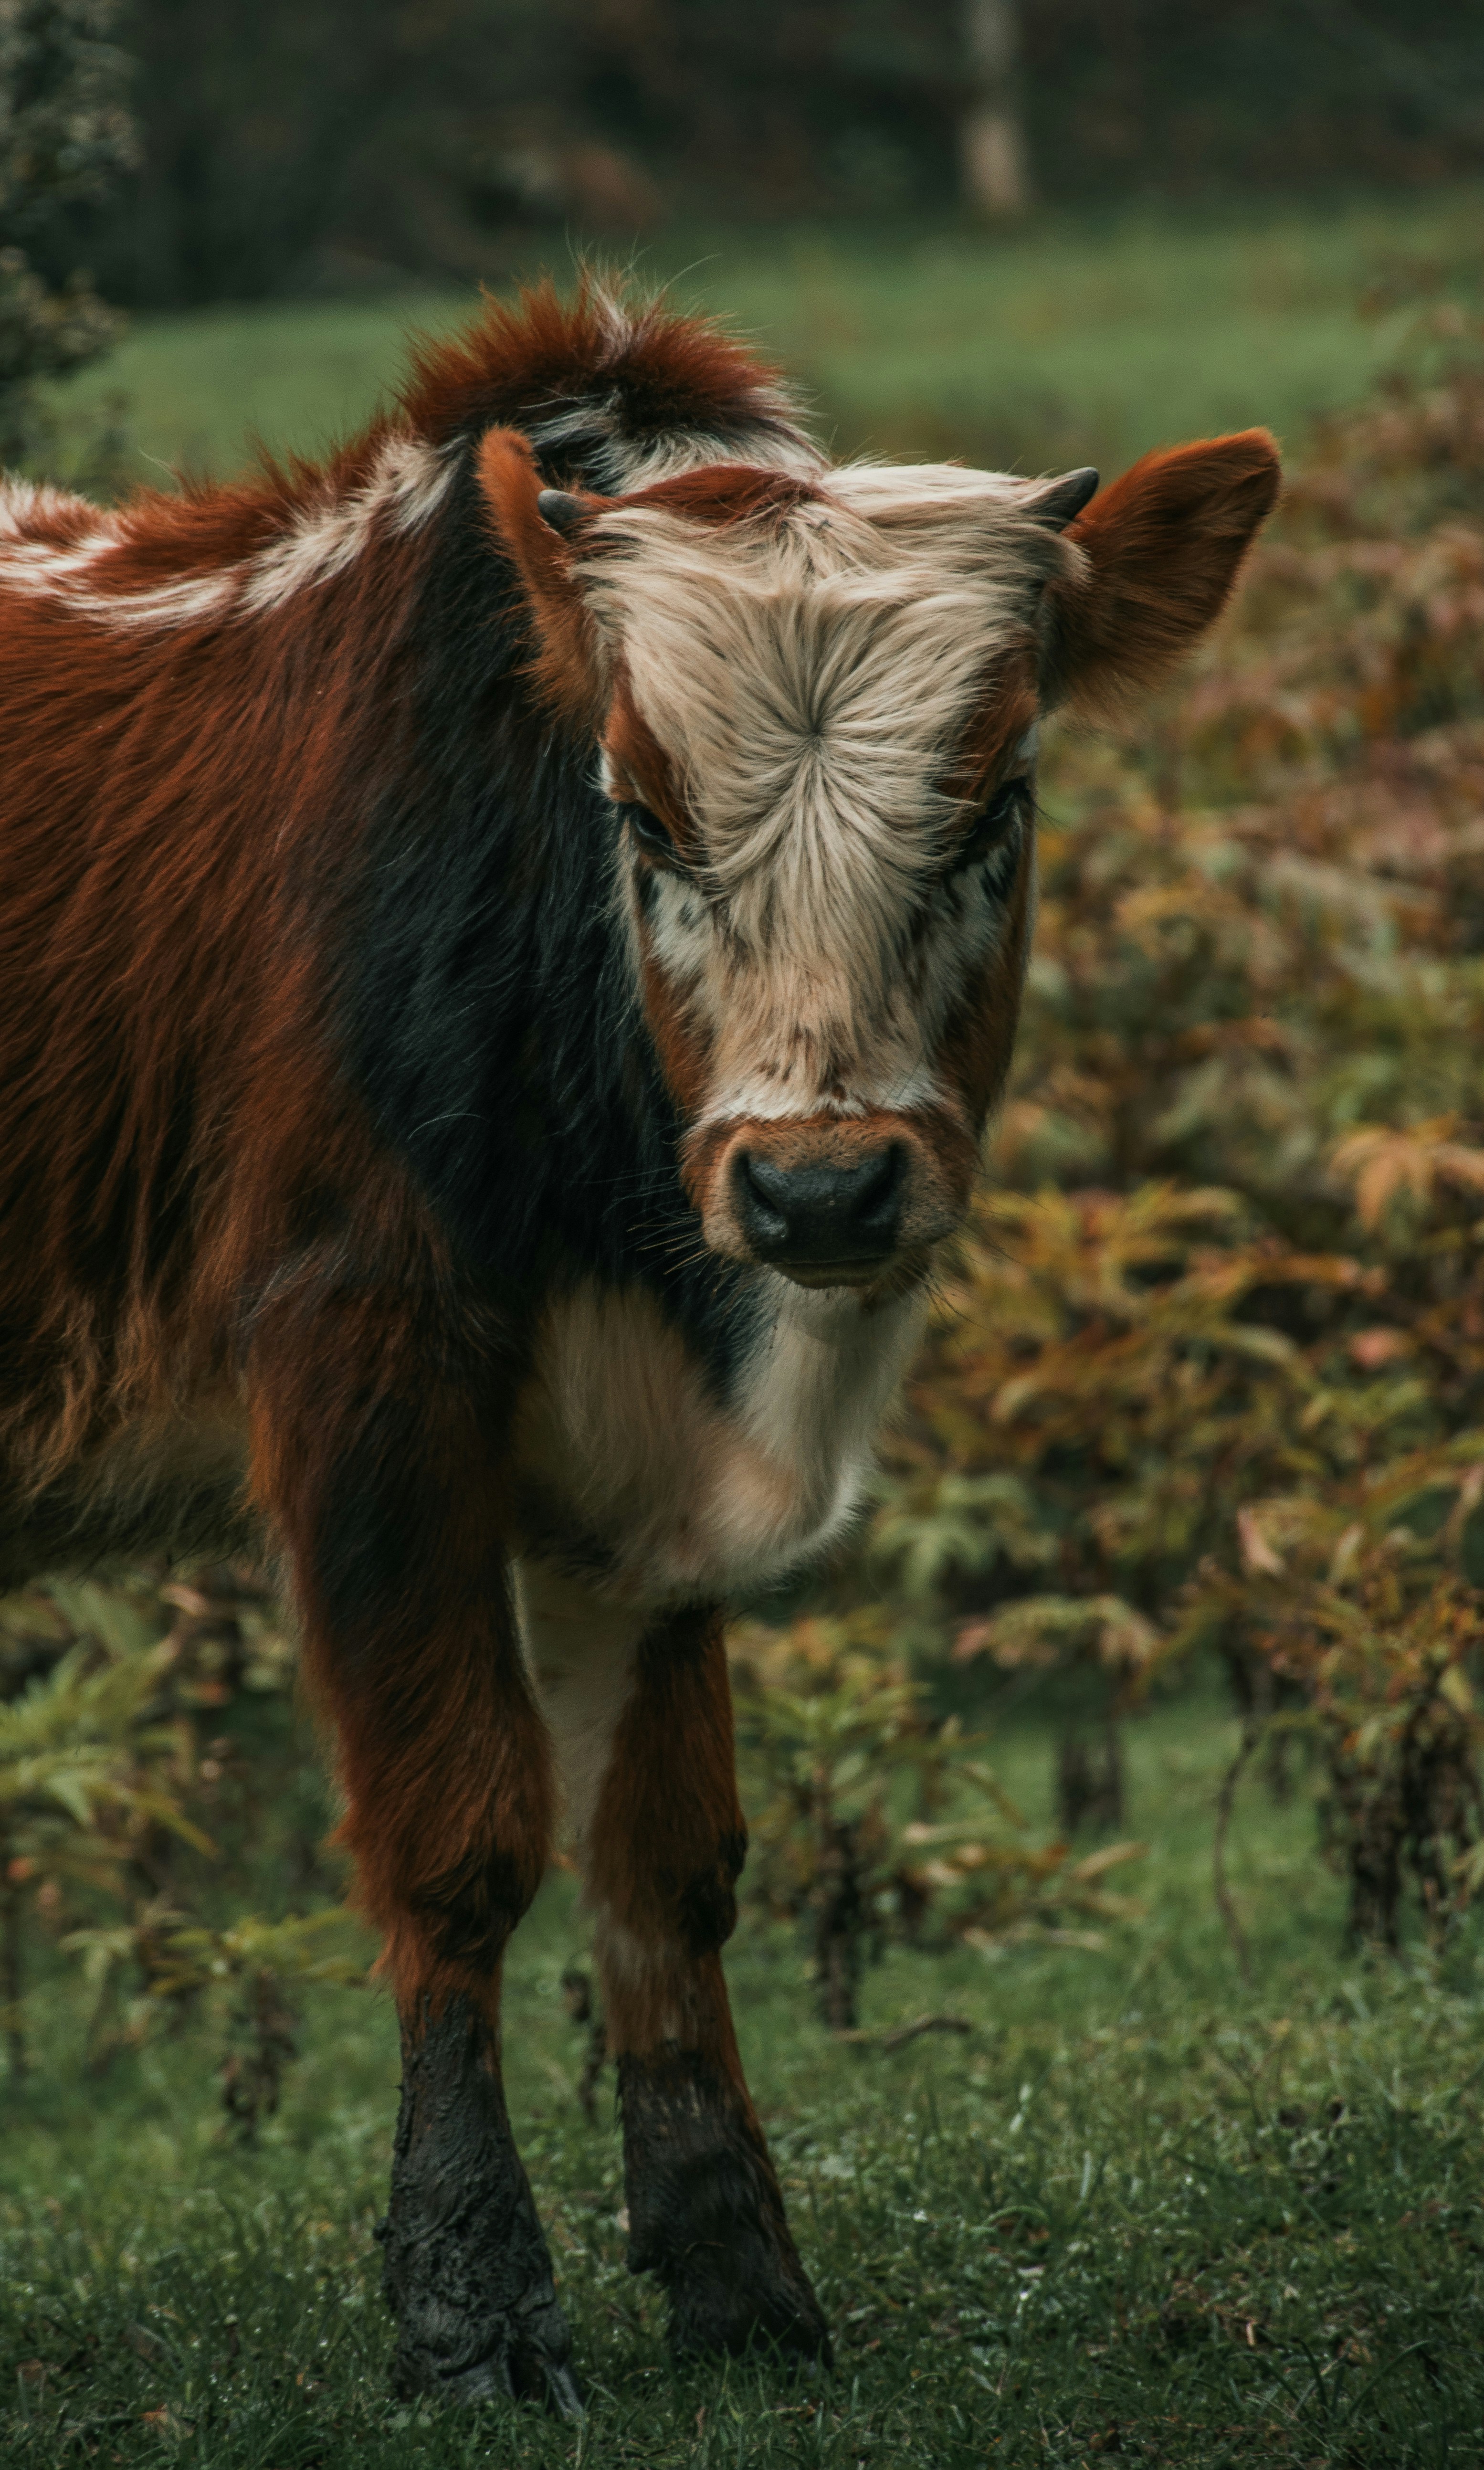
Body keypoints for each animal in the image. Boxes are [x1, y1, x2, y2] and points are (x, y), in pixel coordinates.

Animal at [0, 280, 1279, 2412]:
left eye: (997, 801)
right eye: (644, 812)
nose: (821, 1189)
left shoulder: (649, 1469)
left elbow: (665, 1861)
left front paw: (737, 2272)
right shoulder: (366, 1352)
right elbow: (459, 1832)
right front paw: (471, 2299)